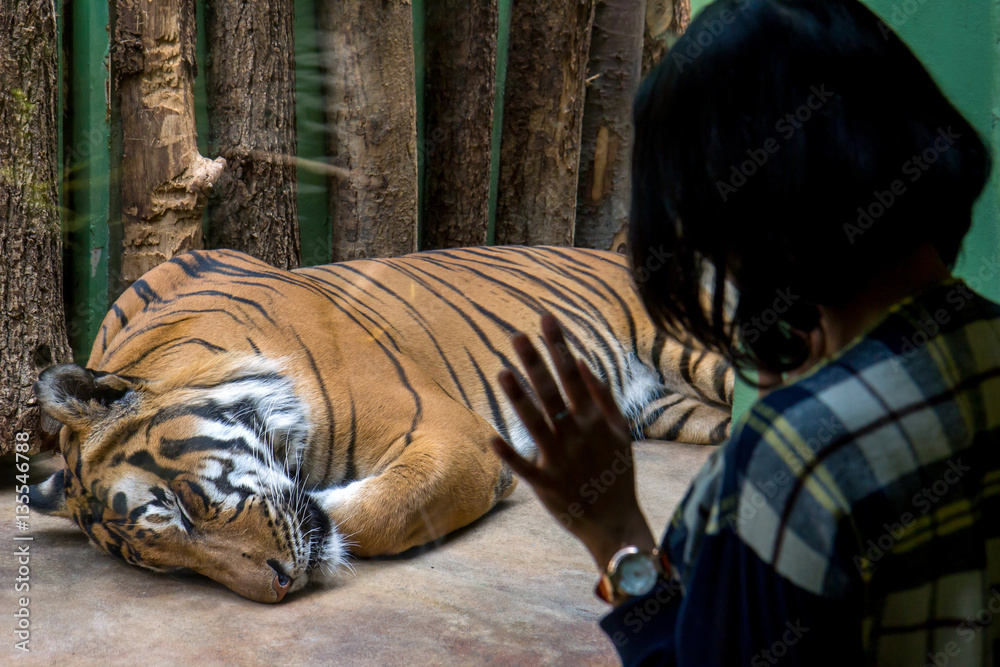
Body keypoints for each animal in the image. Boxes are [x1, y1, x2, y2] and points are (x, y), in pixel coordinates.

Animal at [29, 245, 733, 603]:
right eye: (176, 568)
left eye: (178, 505)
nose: (280, 586)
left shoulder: (451, 434)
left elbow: (381, 511)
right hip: (676, 409)